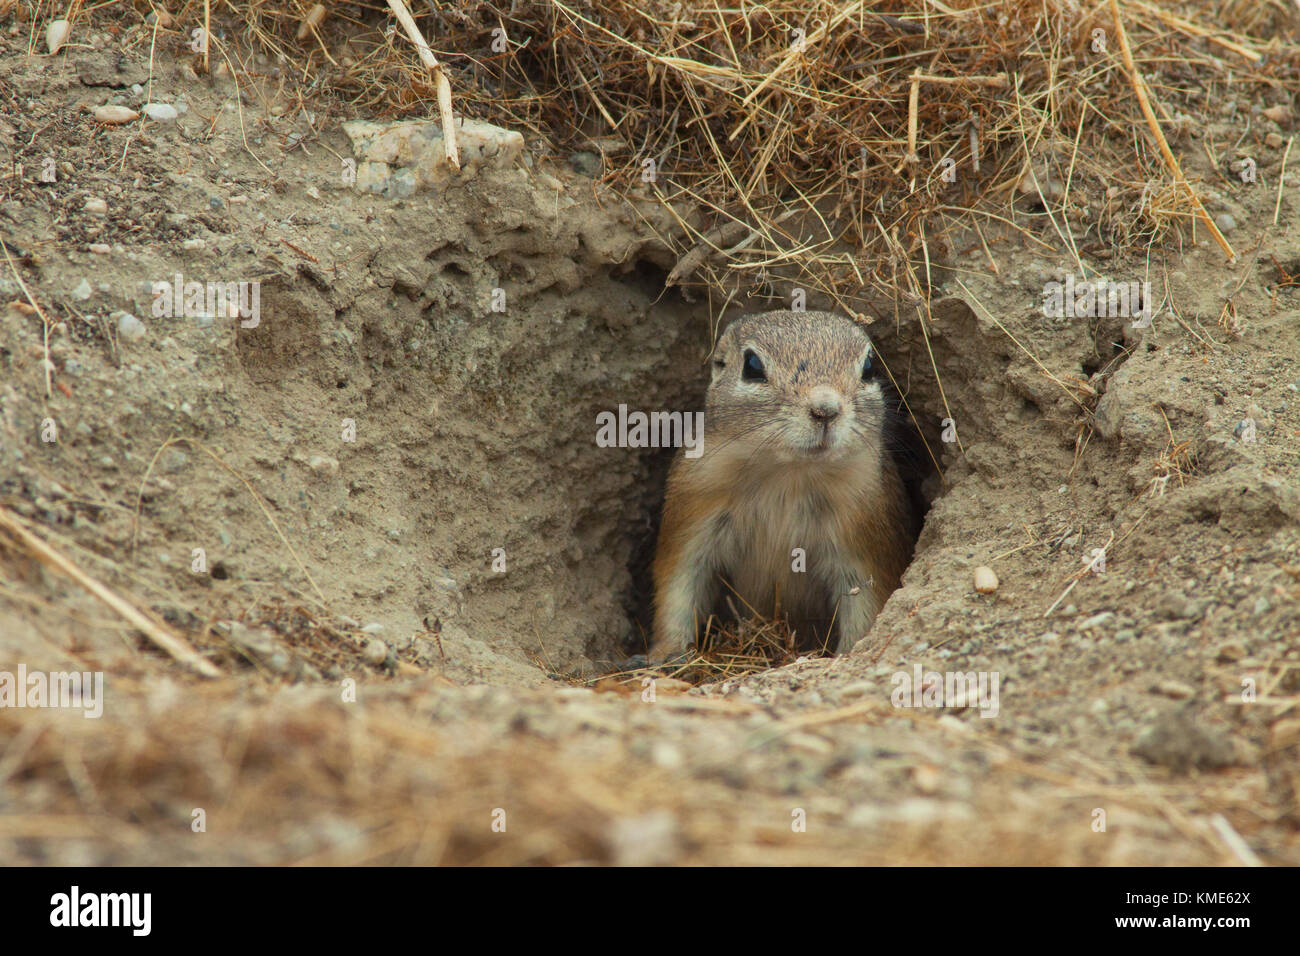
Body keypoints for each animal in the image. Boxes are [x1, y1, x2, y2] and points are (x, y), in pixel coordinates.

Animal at [649, 309, 919, 664]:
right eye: (752, 366)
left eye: (869, 367)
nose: (825, 410)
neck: (789, 474)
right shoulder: (693, 514)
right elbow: (677, 588)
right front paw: (665, 654)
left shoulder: (865, 542)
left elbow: (866, 604)